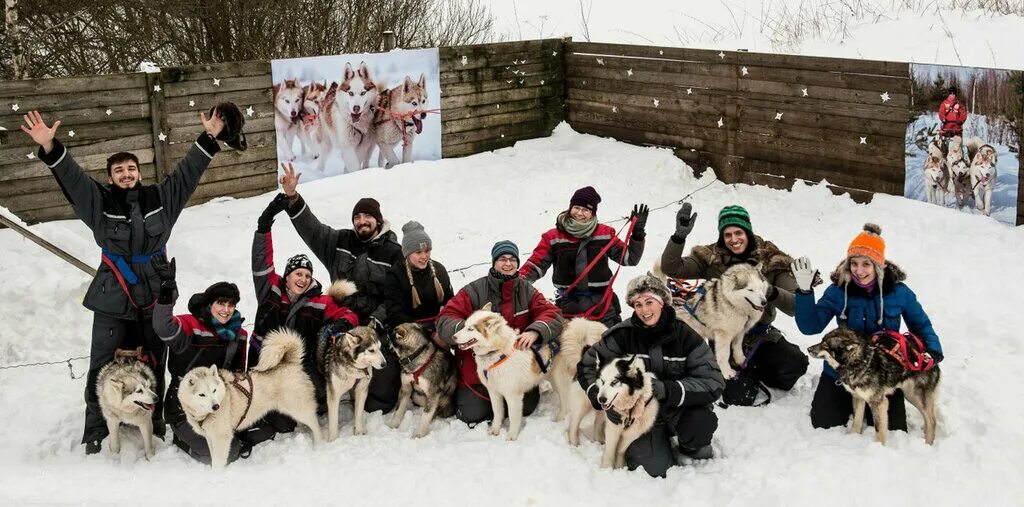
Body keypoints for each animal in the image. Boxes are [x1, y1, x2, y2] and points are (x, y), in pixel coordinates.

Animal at [177, 329, 319, 469]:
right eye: (202, 394)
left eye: (214, 390)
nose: (216, 406)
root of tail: (291, 363)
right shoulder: (210, 437)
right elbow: (212, 458)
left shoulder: (222, 438)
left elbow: (218, 463)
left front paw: (216, 474)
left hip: (299, 409)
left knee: (315, 425)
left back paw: (319, 445)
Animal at [317, 313, 385, 444]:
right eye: (371, 350)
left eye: (380, 347)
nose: (384, 364)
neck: (355, 368)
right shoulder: (333, 394)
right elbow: (333, 421)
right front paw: (333, 441)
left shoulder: (361, 391)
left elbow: (359, 413)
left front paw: (358, 432)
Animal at [454, 303, 581, 442]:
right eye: (464, 325)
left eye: (470, 329)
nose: (453, 337)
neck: (497, 353)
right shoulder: (494, 392)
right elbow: (497, 412)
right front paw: (495, 430)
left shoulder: (513, 396)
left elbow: (513, 417)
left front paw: (512, 436)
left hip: (559, 379)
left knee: (565, 400)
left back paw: (559, 417)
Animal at [806, 327, 942, 446]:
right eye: (821, 340)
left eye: (825, 345)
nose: (808, 349)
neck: (860, 363)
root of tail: (927, 356)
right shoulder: (858, 398)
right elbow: (856, 422)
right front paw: (853, 438)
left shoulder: (879, 403)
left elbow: (879, 429)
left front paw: (879, 447)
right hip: (911, 396)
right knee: (928, 419)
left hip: (918, 395)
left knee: (932, 421)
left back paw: (928, 444)